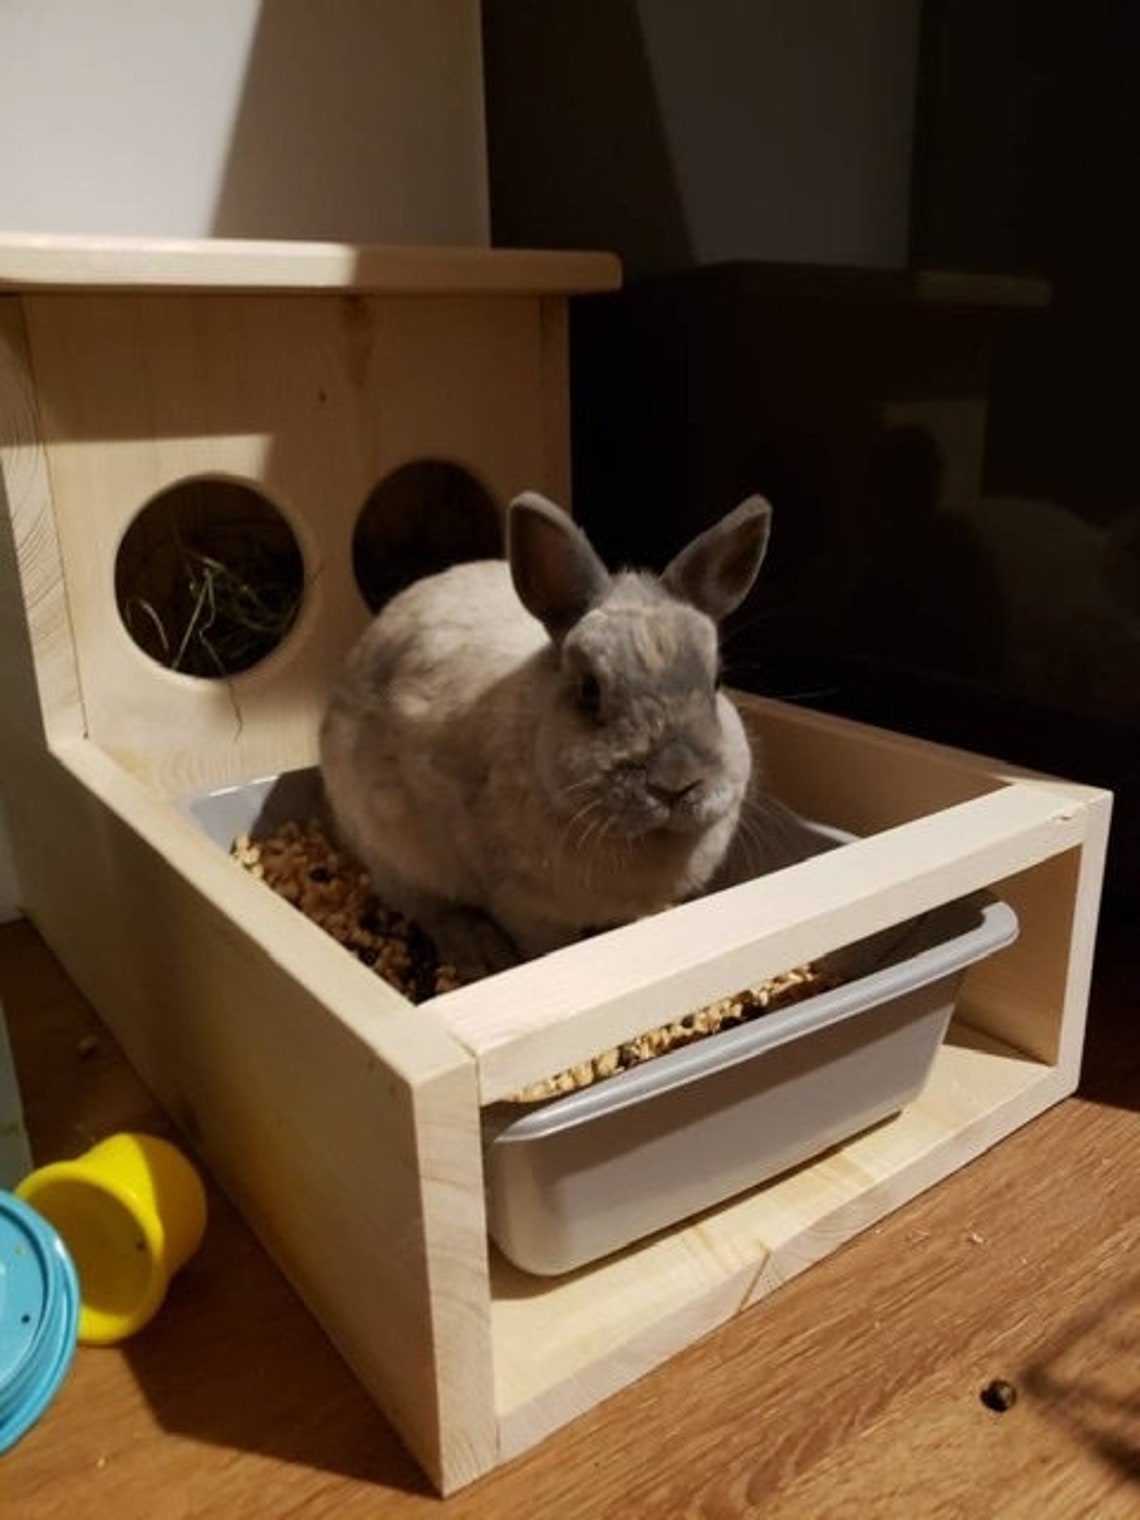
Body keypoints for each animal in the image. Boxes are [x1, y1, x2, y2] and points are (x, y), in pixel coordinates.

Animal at [319, 491, 773, 980]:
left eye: (717, 683)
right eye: (589, 690)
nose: (676, 781)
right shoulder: (524, 908)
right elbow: (544, 948)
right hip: (394, 853)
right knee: (428, 907)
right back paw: (480, 952)